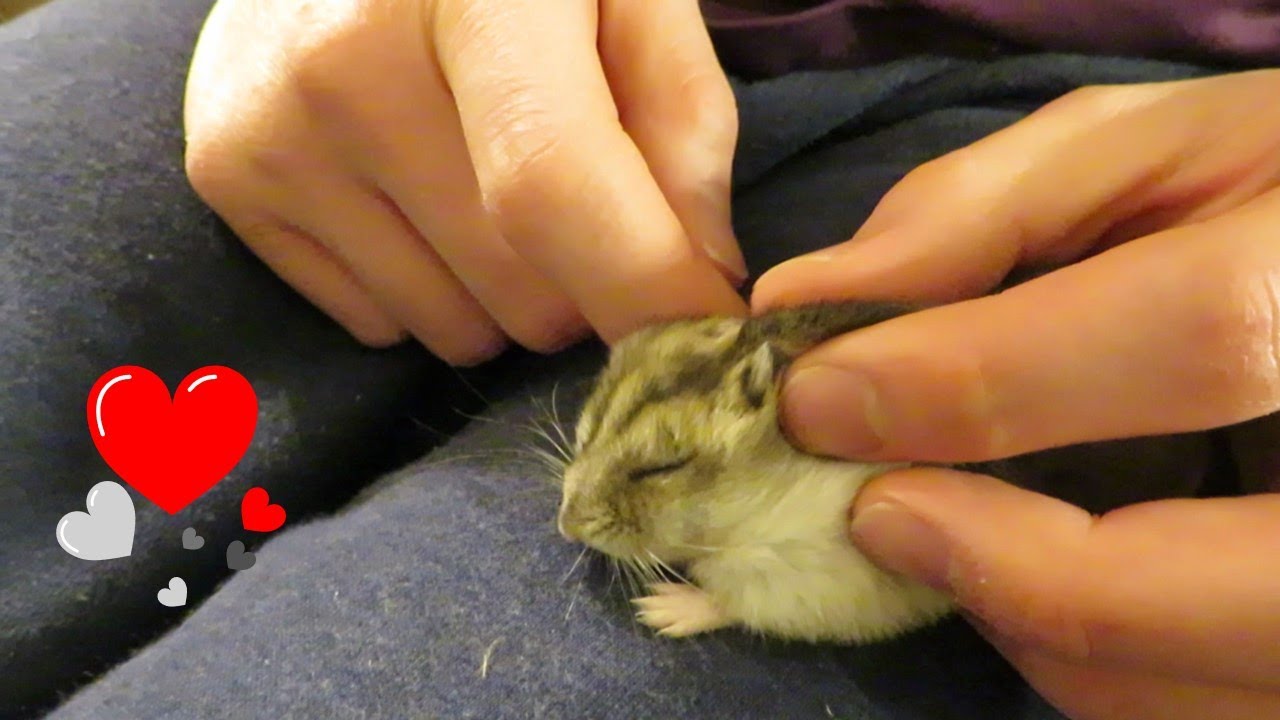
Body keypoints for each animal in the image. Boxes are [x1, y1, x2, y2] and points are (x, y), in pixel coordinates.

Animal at [556, 301, 954, 644]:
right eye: (585, 435)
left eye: (664, 466)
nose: (566, 528)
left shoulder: (803, 570)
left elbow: (734, 600)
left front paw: (657, 608)